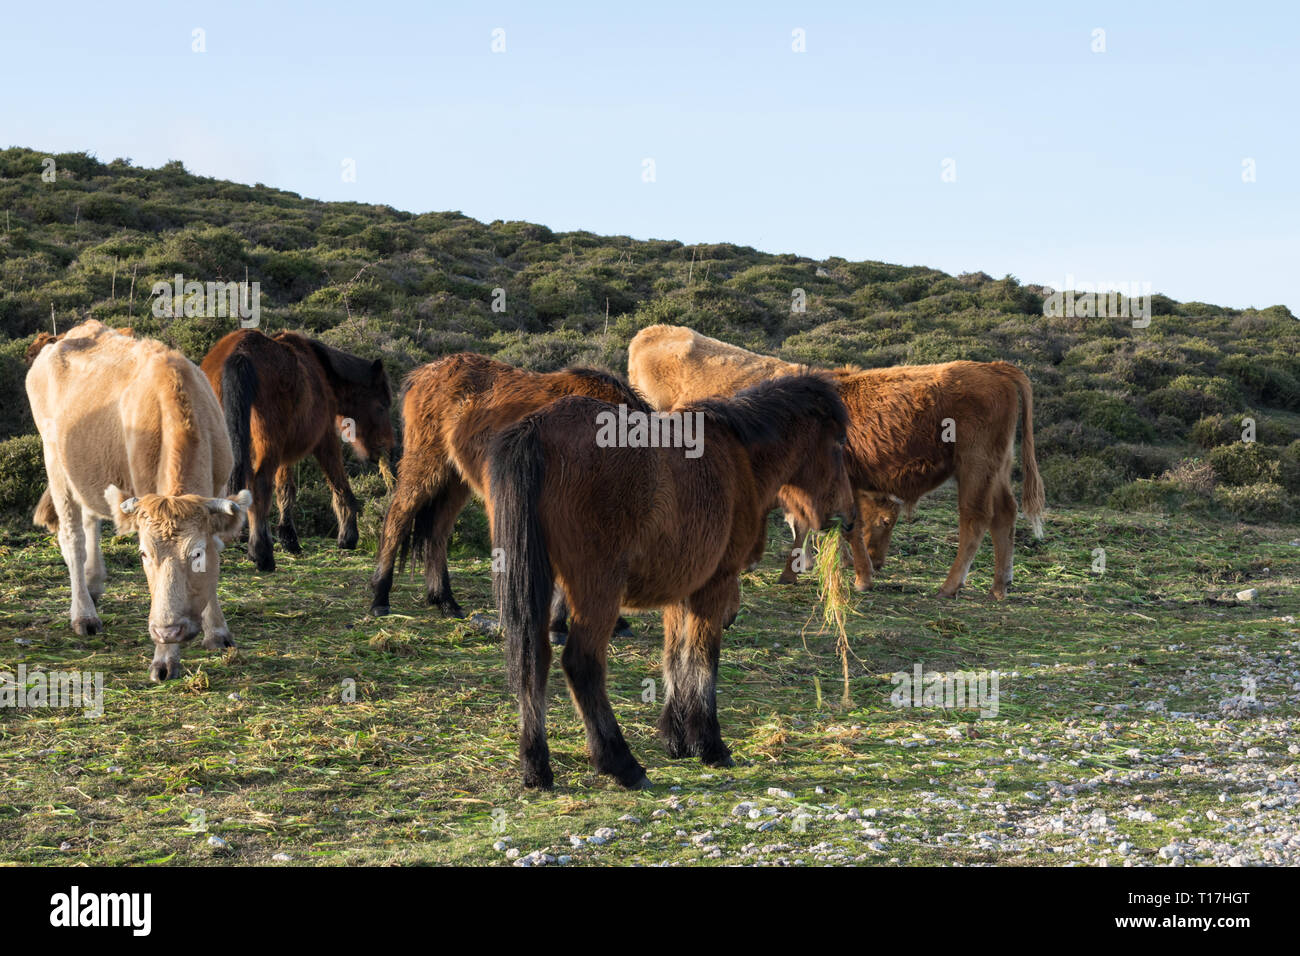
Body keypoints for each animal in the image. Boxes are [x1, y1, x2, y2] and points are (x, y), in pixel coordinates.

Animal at [26, 321, 252, 680]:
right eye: (144, 554)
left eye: (196, 553)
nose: (167, 631)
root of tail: (65, 336)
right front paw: (165, 658)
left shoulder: (218, 491)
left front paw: (217, 631)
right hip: (55, 461)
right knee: (72, 538)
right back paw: (84, 613)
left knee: (90, 518)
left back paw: (93, 581)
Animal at [201, 330, 395, 572]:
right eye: (381, 406)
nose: (389, 449)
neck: (323, 372)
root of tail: (240, 353)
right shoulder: (325, 440)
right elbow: (339, 484)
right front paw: (348, 536)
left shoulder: (284, 454)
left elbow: (285, 489)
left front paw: (289, 539)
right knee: (259, 487)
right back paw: (262, 555)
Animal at [368, 352, 650, 642]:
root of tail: (424, 373)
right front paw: (558, 626)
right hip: (425, 465)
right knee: (397, 518)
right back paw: (380, 598)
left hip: (455, 479)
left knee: (437, 534)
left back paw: (446, 602)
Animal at [488, 374, 855, 789]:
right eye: (838, 445)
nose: (848, 519)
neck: (739, 455)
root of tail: (537, 430)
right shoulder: (714, 585)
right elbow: (703, 660)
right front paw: (709, 744)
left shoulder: (681, 592)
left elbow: (675, 658)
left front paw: (676, 738)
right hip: (598, 590)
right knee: (582, 663)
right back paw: (622, 763)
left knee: (533, 659)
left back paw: (536, 766)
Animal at [627, 324, 1045, 599]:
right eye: (887, 522)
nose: (879, 561)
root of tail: (995, 367)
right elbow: (819, 524)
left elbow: (833, 525)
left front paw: (853, 576)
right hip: (995, 468)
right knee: (1004, 515)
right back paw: (999, 585)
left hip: (977, 466)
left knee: (975, 520)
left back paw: (950, 585)